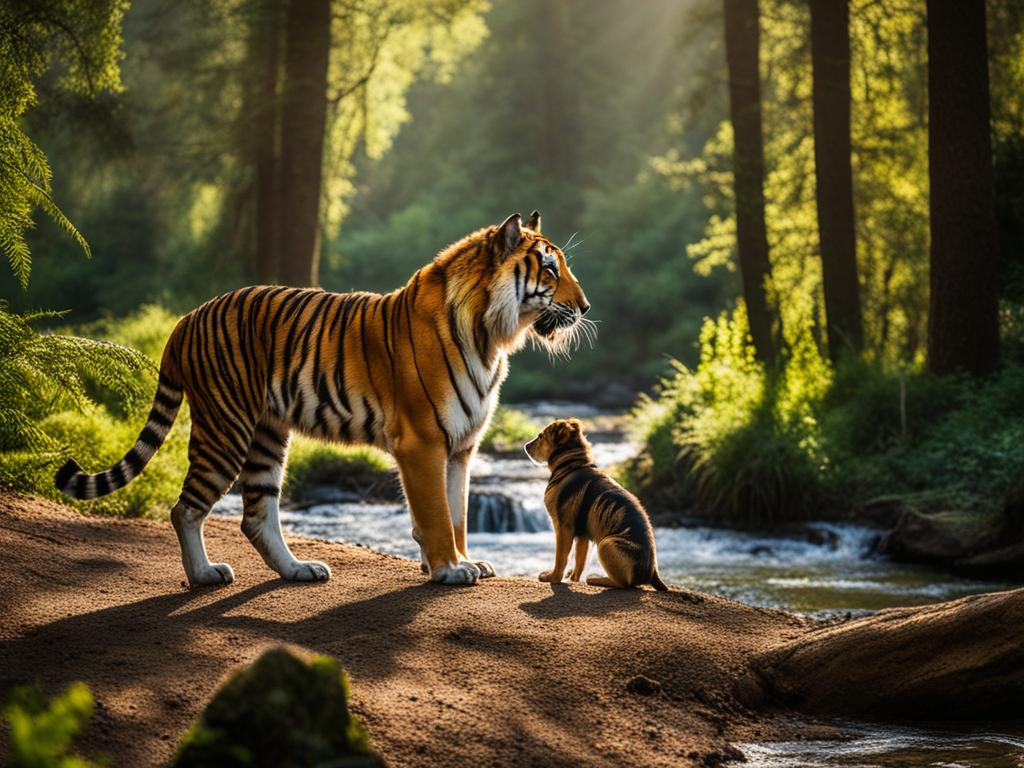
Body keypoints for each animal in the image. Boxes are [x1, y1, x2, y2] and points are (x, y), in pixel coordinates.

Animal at [56, 211, 591, 587]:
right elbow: (436, 514)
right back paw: (204, 576)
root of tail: (187, 316)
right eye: (549, 268)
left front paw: (467, 561)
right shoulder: (422, 441)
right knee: (185, 508)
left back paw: (298, 570)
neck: (492, 336)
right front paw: (448, 569)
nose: (586, 307)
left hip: (267, 434)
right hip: (225, 428)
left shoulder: (461, 448)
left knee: (257, 515)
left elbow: (458, 515)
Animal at [524, 418, 667, 591]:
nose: (525, 446)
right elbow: (580, 560)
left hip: (605, 544)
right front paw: (572, 579)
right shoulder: (583, 535)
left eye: (540, 436)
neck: (571, 465)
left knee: (625, 584)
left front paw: (553, 577)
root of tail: (651, 573)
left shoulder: (563, 527)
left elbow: (561, 557)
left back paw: (597, 579)